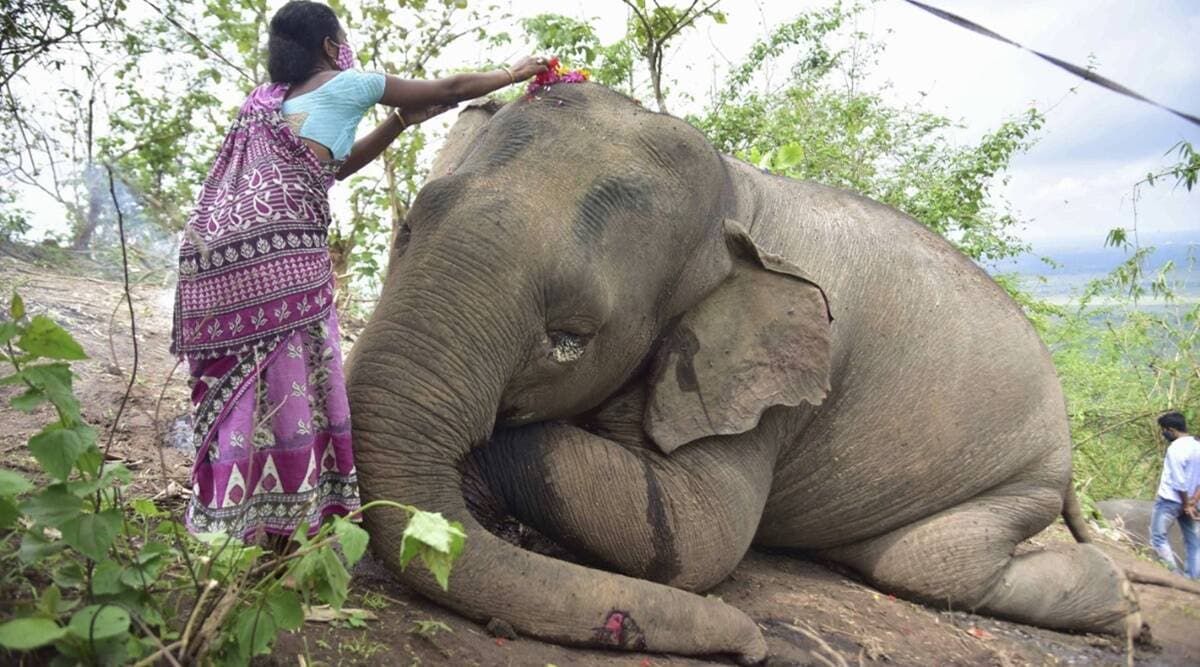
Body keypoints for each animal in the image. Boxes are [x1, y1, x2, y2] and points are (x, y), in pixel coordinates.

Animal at [346, 83, 1140, 663]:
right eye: (407, 229)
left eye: (571, 337)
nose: (755, 647)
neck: (735, 190)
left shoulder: (777, 388)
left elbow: (701, 536)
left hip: (1022, 474)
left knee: (929, 563)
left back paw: (1128, 611)